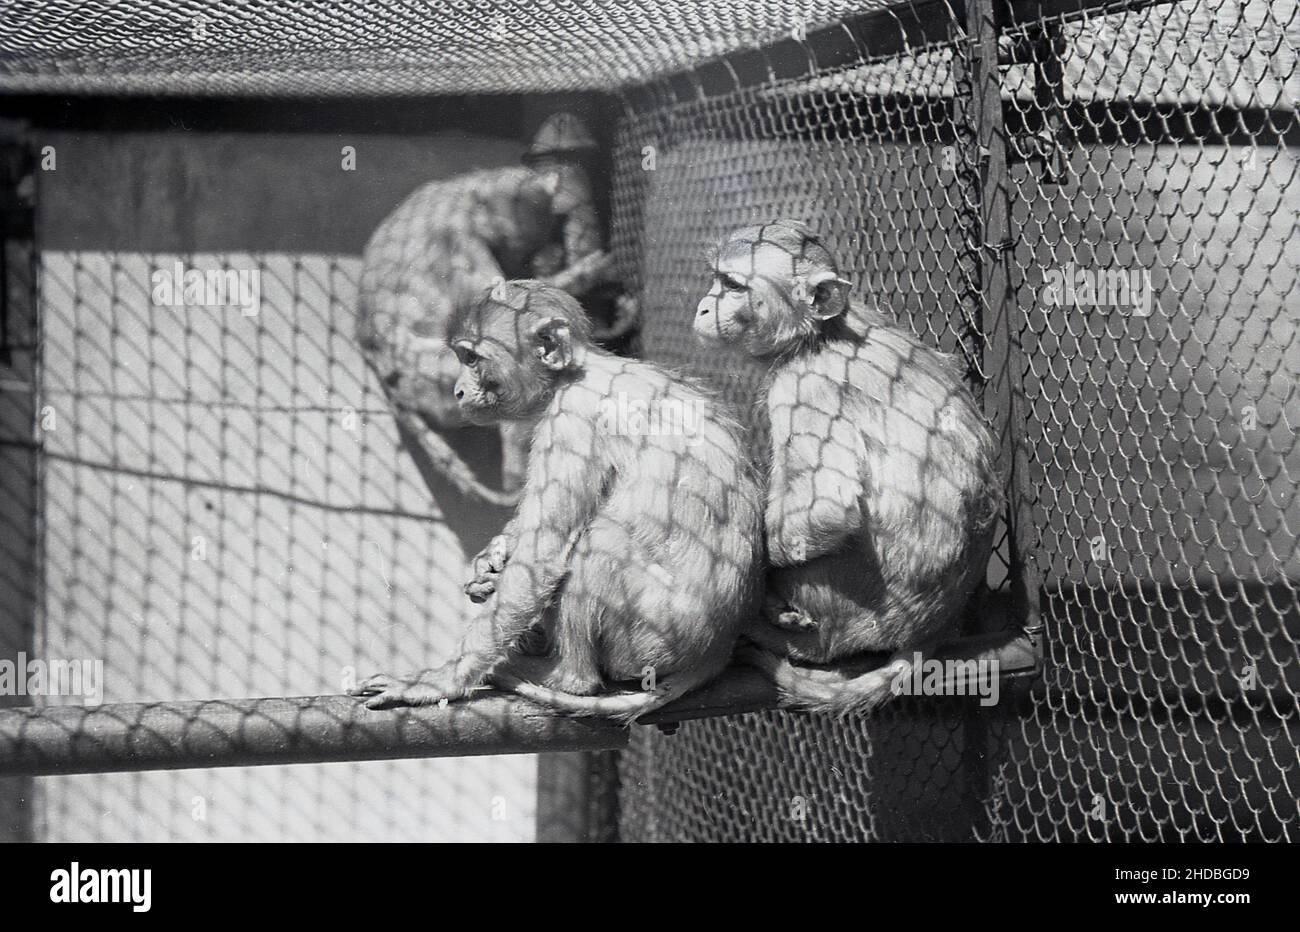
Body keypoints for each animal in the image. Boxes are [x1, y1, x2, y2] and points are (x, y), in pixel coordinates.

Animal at [350, 280, 763, 720]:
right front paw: (491, 561)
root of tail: (716, 651)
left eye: (472, 359)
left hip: (658, 635)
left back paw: (569, 678)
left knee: (601, 542)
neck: (577, 371)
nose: (458, 390)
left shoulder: (571, 419)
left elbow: (541, 555)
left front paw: (439, 680)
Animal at [693, 219, 1003, 714]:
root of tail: (930, 627)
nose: (704, 305)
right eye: (717, 279)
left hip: (846, 604)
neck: (819, 335)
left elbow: (829, 510)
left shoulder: (804, 385)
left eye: (733, 286)